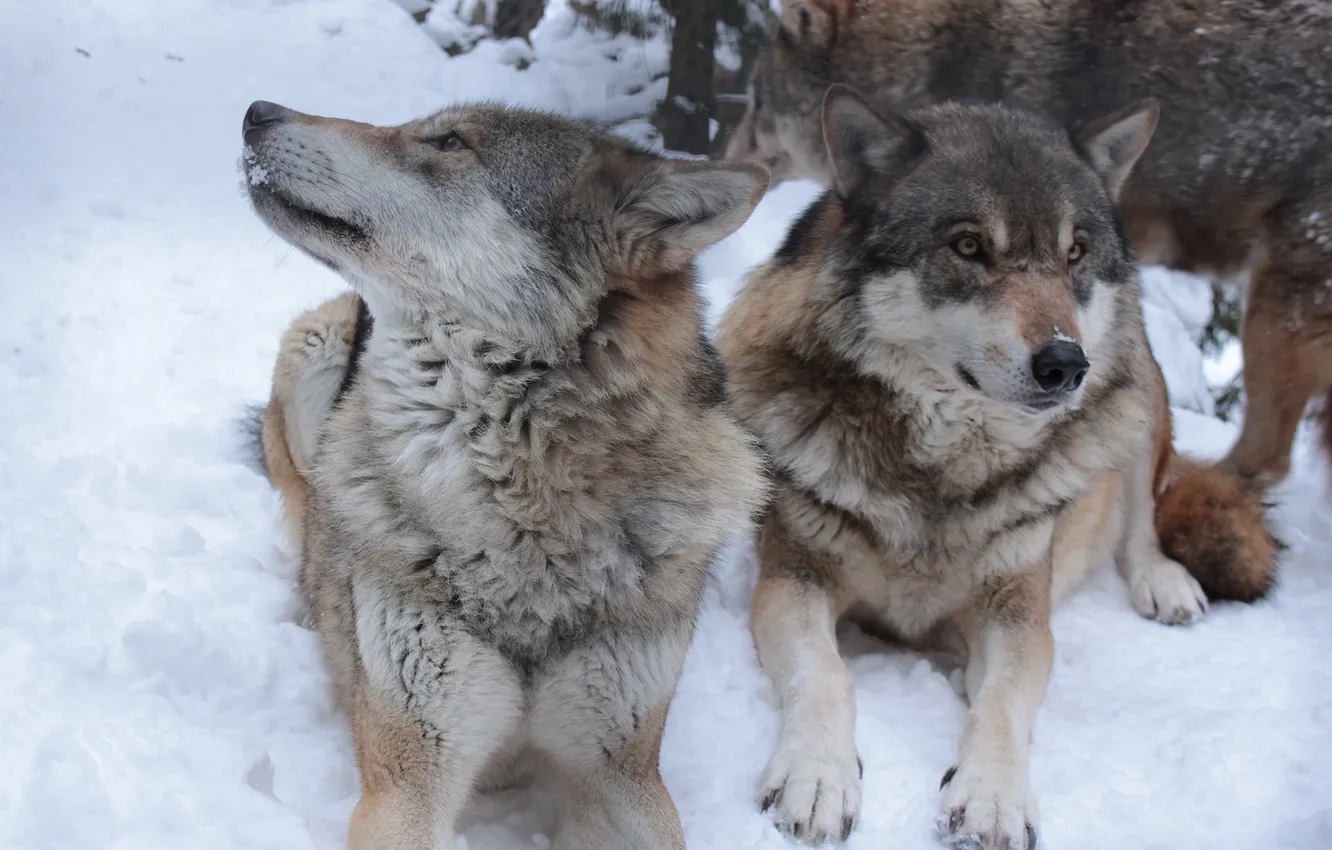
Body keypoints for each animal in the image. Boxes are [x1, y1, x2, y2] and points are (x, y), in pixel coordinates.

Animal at [717, 86, 1279, 849]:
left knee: (1144, 517)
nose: (1066, 364)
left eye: (1076, 253)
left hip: (1135, 394)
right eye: (968, 246)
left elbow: (1003, 705)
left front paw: (991, 799)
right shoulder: (792, 580)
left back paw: (1164, 584)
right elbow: (828, 676)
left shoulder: (1017, 613)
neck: (943, 465)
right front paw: (818, 779)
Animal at [724, 0, 1332, 494]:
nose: (727, 159)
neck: (942, 51)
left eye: (756, 101)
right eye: (970, 246)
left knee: (1265, 459)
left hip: (1274, 314)